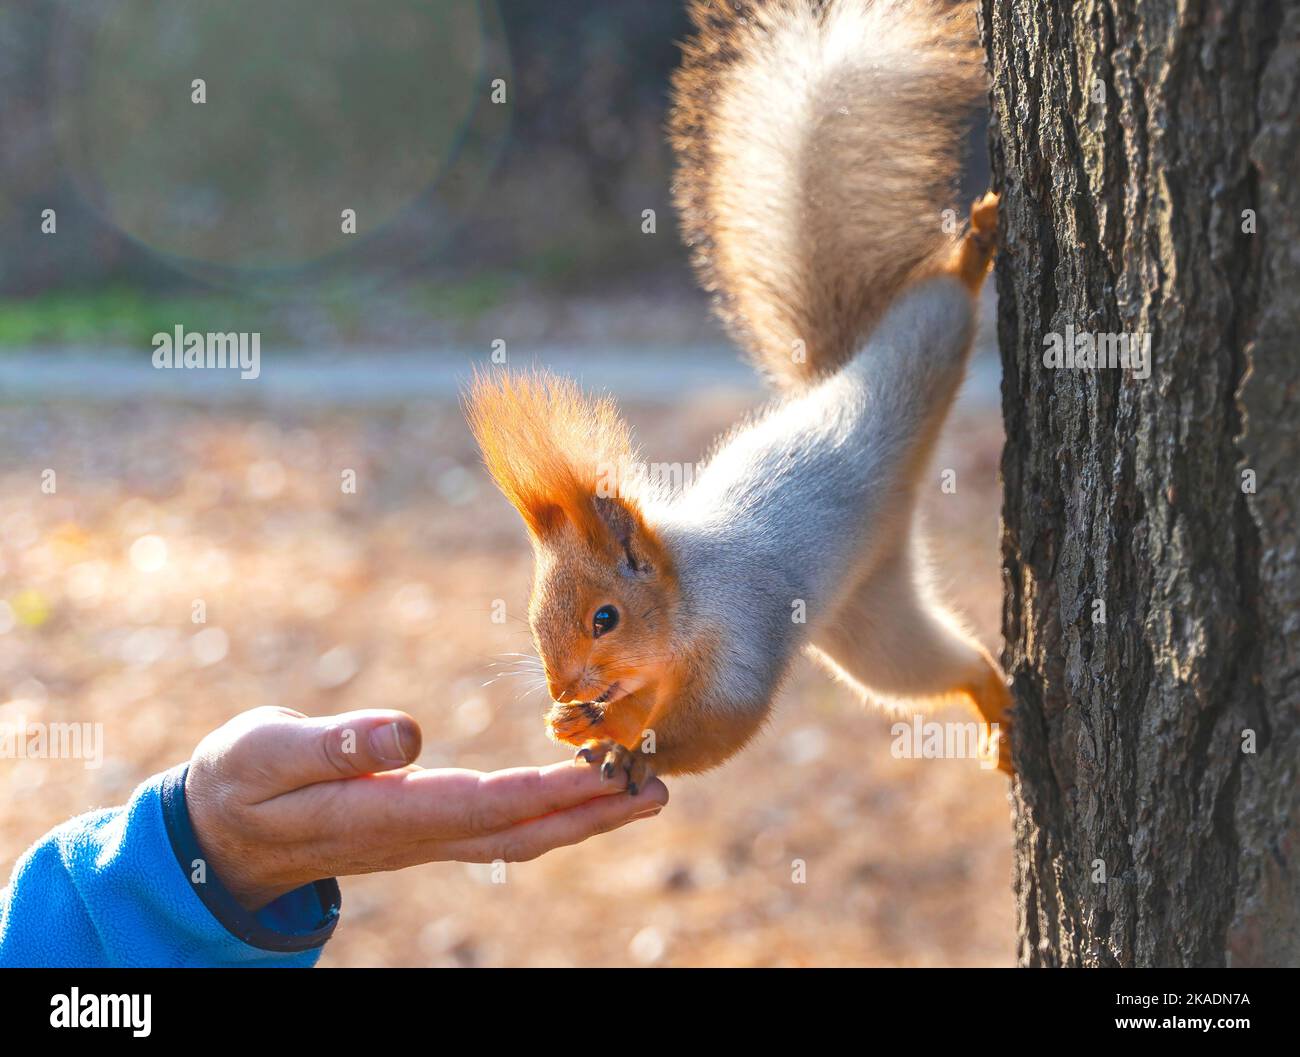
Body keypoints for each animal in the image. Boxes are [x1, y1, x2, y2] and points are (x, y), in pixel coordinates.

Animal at [465, 0, 1011, 789]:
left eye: (606, 619)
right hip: (868, 616)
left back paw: (975, 245)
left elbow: (722, 723)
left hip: (915, 362)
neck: (687, 594)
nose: (561, 687)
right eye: (536, 619)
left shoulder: (740, 636)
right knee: (936, 661)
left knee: (939, 312)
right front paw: (578, 723)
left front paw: (627, 749)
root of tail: (838, 378)